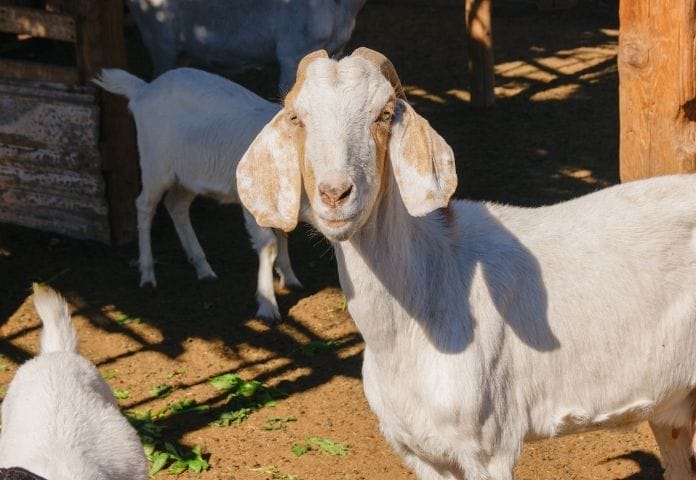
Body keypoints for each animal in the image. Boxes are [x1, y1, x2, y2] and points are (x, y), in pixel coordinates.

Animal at [94, 68, 302, 322]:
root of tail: (144, 89)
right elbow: (269, 244)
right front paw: (268, 306)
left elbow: (283, 233)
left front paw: (290, 278)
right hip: (155, 163)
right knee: (145, 205)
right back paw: (148, 274)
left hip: (187, 176)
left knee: (176, 205)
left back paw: (202, 267)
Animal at [236, 47, 696, 479]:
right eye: (297, 117)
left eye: (384, 113)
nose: (335, 194)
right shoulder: (420, 454)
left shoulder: (488, 449)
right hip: (672, 408)